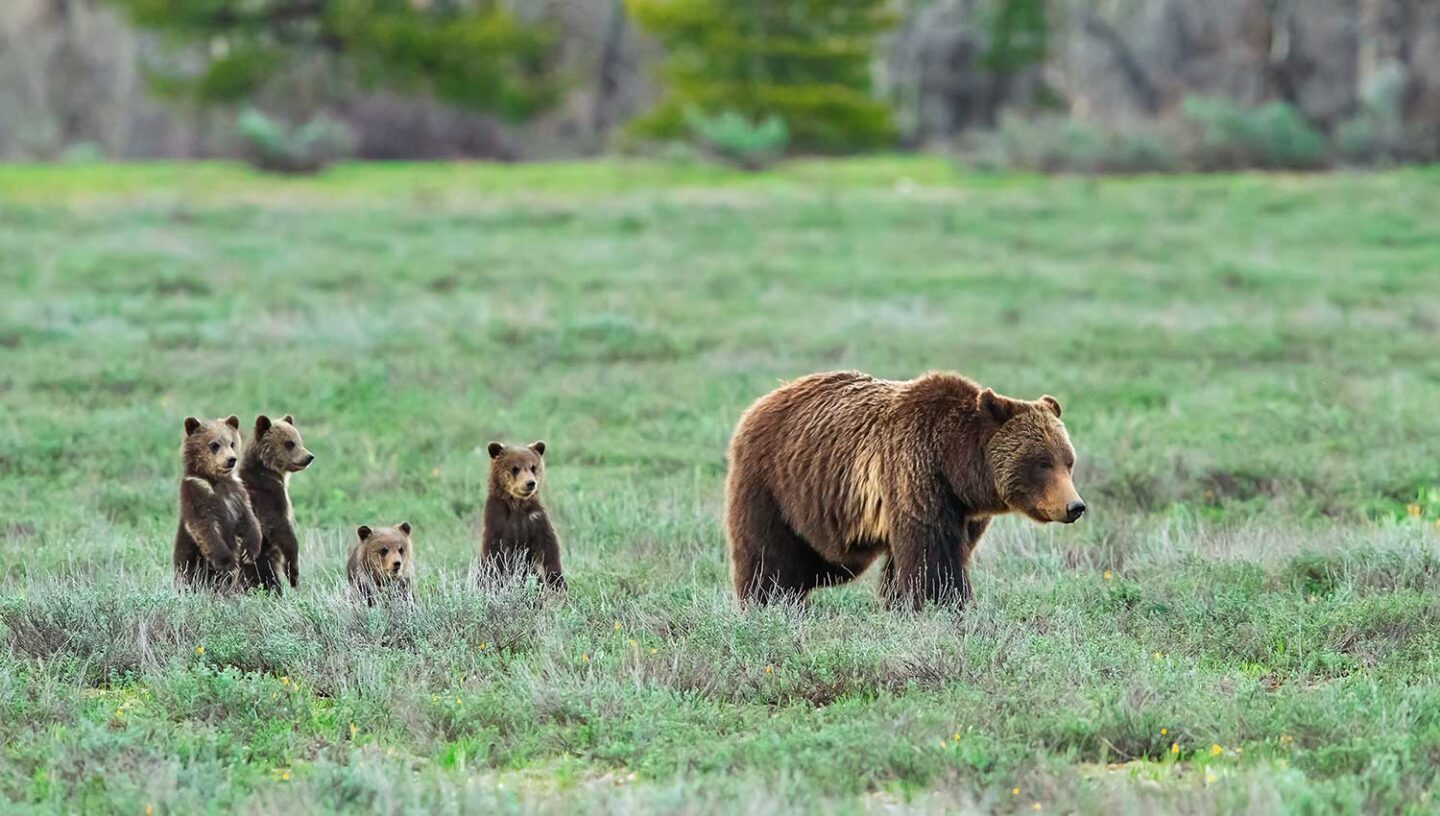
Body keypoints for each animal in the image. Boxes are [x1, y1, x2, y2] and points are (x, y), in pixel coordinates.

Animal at [173, 415, 264, 592]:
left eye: (232, 443)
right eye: (214, 444)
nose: (231, 459)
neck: (216, 481)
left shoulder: (237, 495)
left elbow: (248, 518)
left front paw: (249, 552)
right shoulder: (197, 494)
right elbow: (205, 528)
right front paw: (227, 561)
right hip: (190, 559)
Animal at [238, 414, 315, 595]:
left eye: (299, 439)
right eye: (289, 443)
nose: (309, 456)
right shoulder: (267, 496)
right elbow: (280, 528)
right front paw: (293, 575)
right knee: (266, 579)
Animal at [480, 441, 564, 590]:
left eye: (533, 467)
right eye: (515, 468)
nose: (530, 483)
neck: (517, 505)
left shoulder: (535, 519)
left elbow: (549, 547)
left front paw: (557, 582)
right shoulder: (497, 521)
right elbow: (495, 554)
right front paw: (498, 581)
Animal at [725, 371, 1085, 609]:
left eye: (1068, 461)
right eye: (1042, 463)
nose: (1075, 506)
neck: (955, 464)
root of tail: (762, 401)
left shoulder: (963, 510)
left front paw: (900, 601)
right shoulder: (916, 471)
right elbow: (932, 555)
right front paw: (944, 604)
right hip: (772, 483)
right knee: (769, 551)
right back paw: (769, 601)